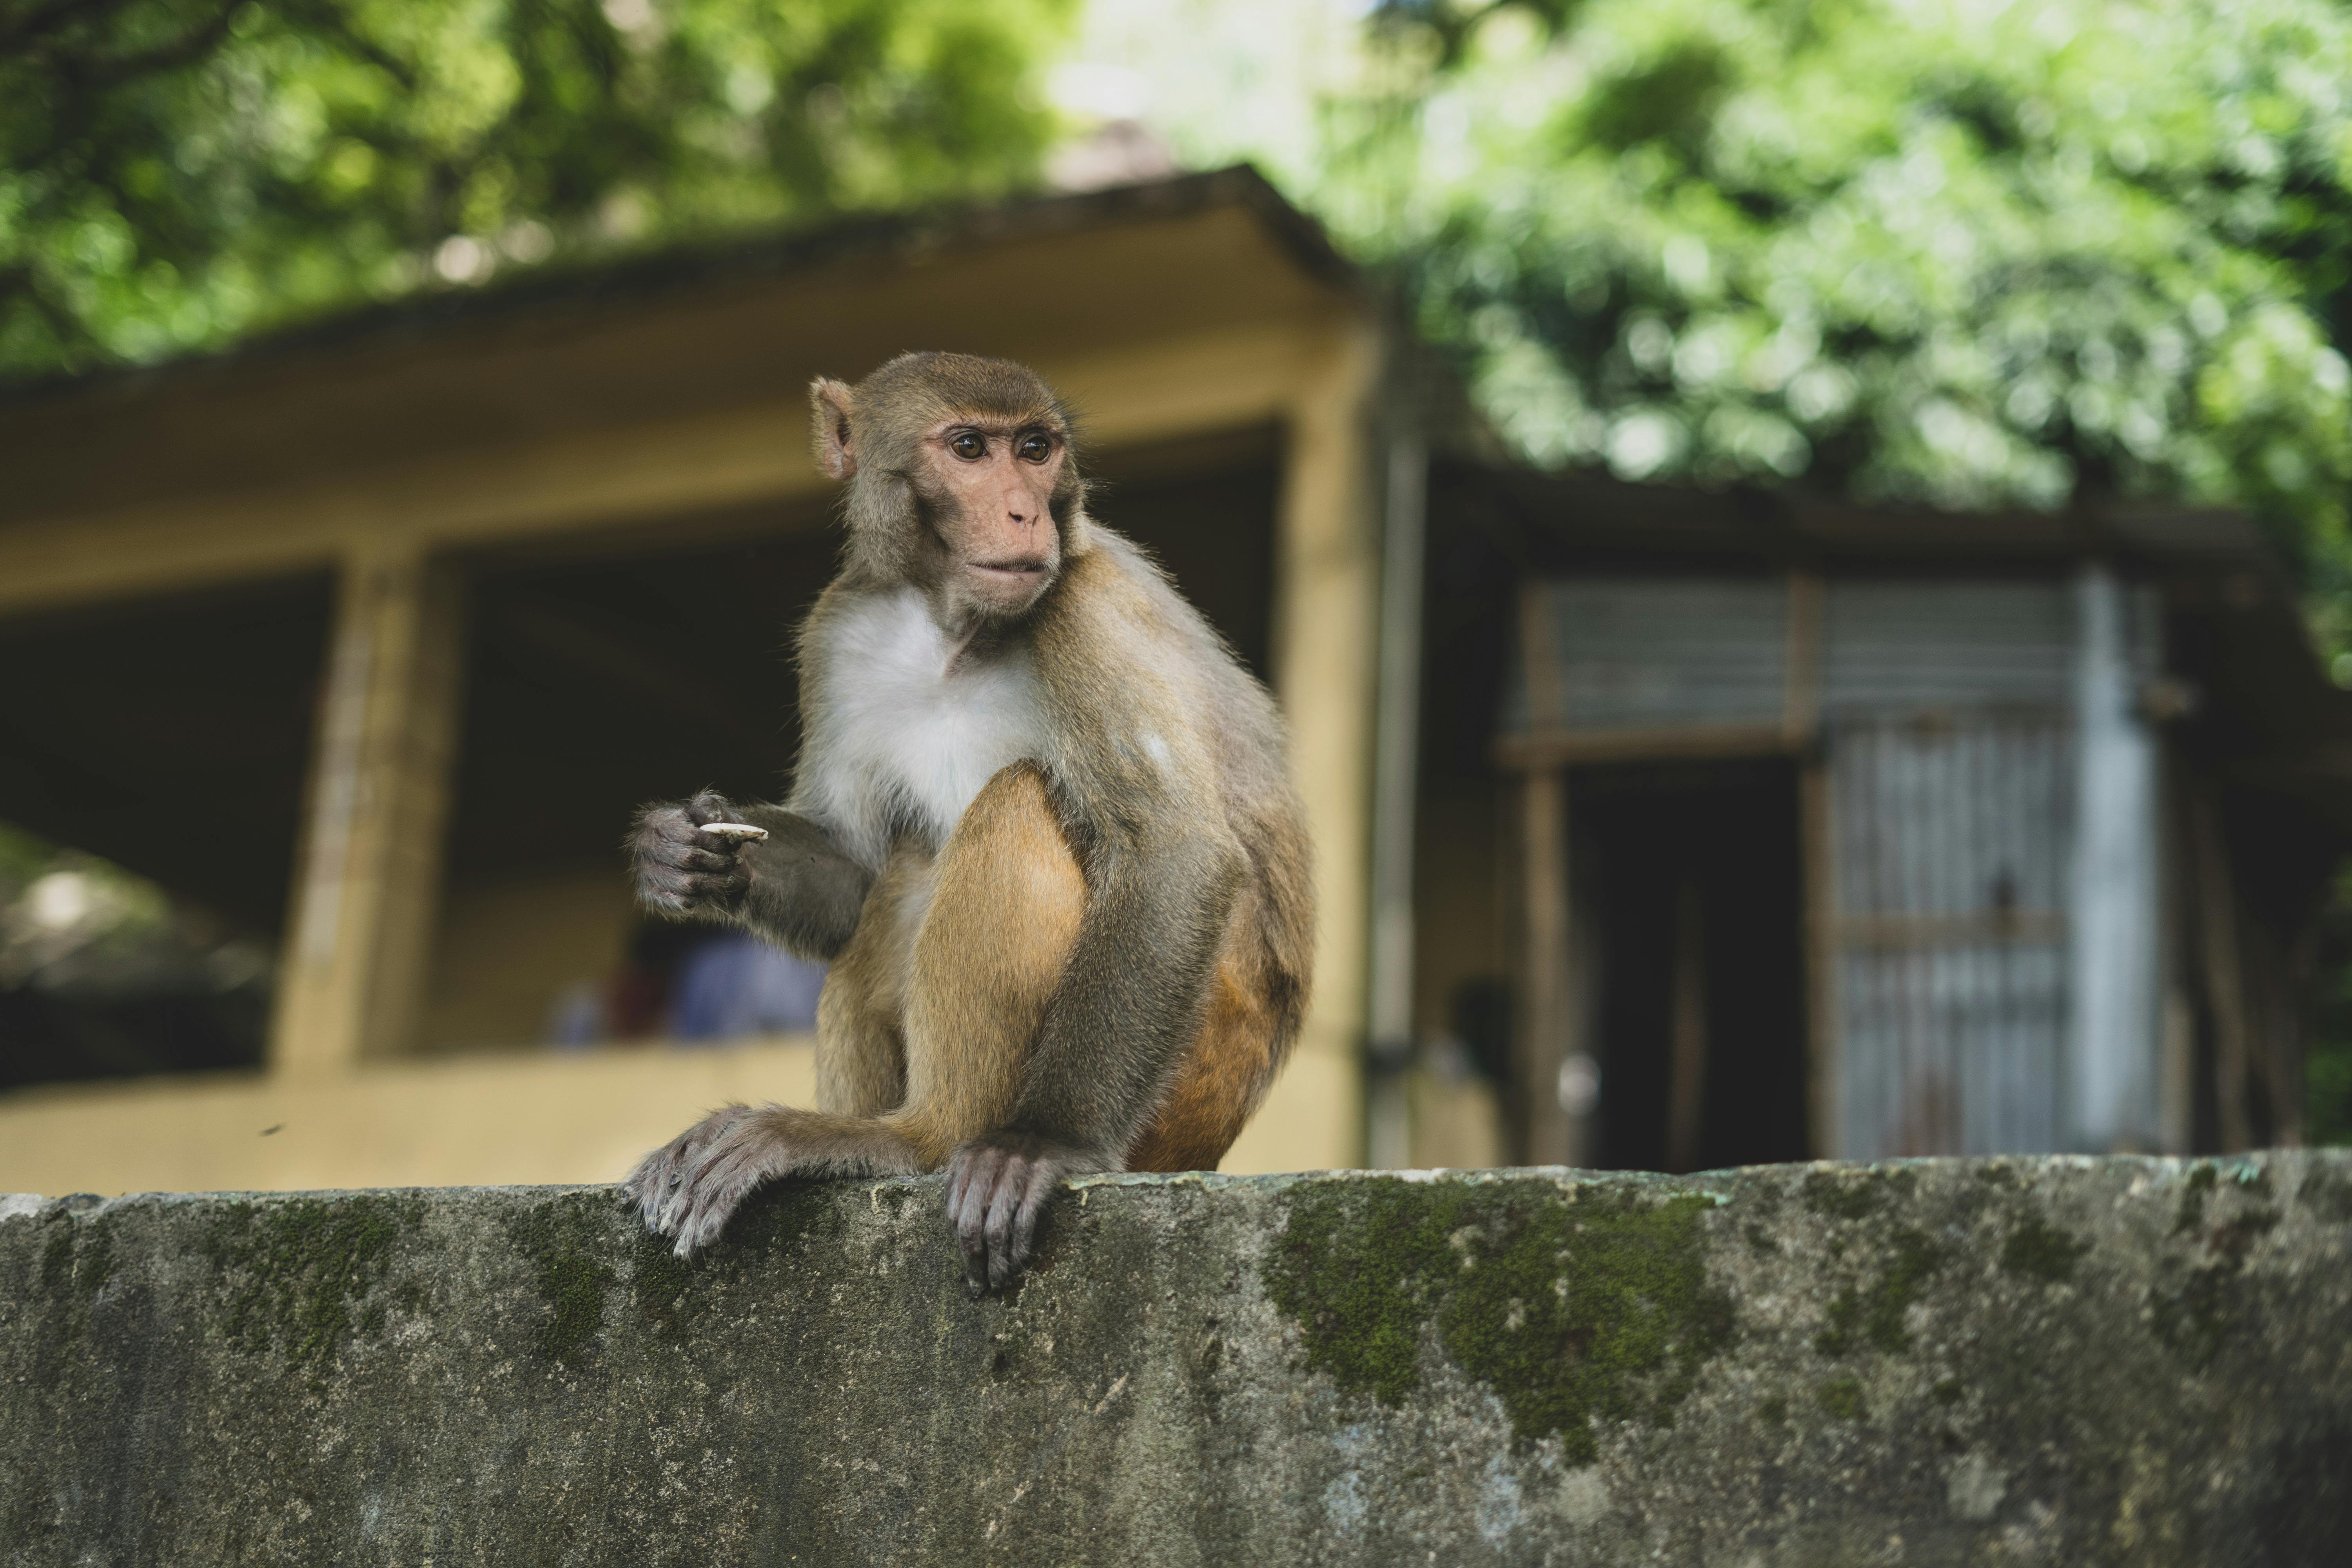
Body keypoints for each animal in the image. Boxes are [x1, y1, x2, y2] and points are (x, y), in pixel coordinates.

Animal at [624, 351, 1314, 1291]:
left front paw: (1046, 1142)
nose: (1024, 511)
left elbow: (1174, 851)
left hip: (1194, 1075)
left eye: (1034, 449)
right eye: (969, 449)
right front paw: (683, 855)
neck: (954, 627)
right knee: (902, 876)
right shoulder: (840, 627)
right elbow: (852, 874)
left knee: (1019, 798)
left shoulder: (1083, 607)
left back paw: (916, 1140)